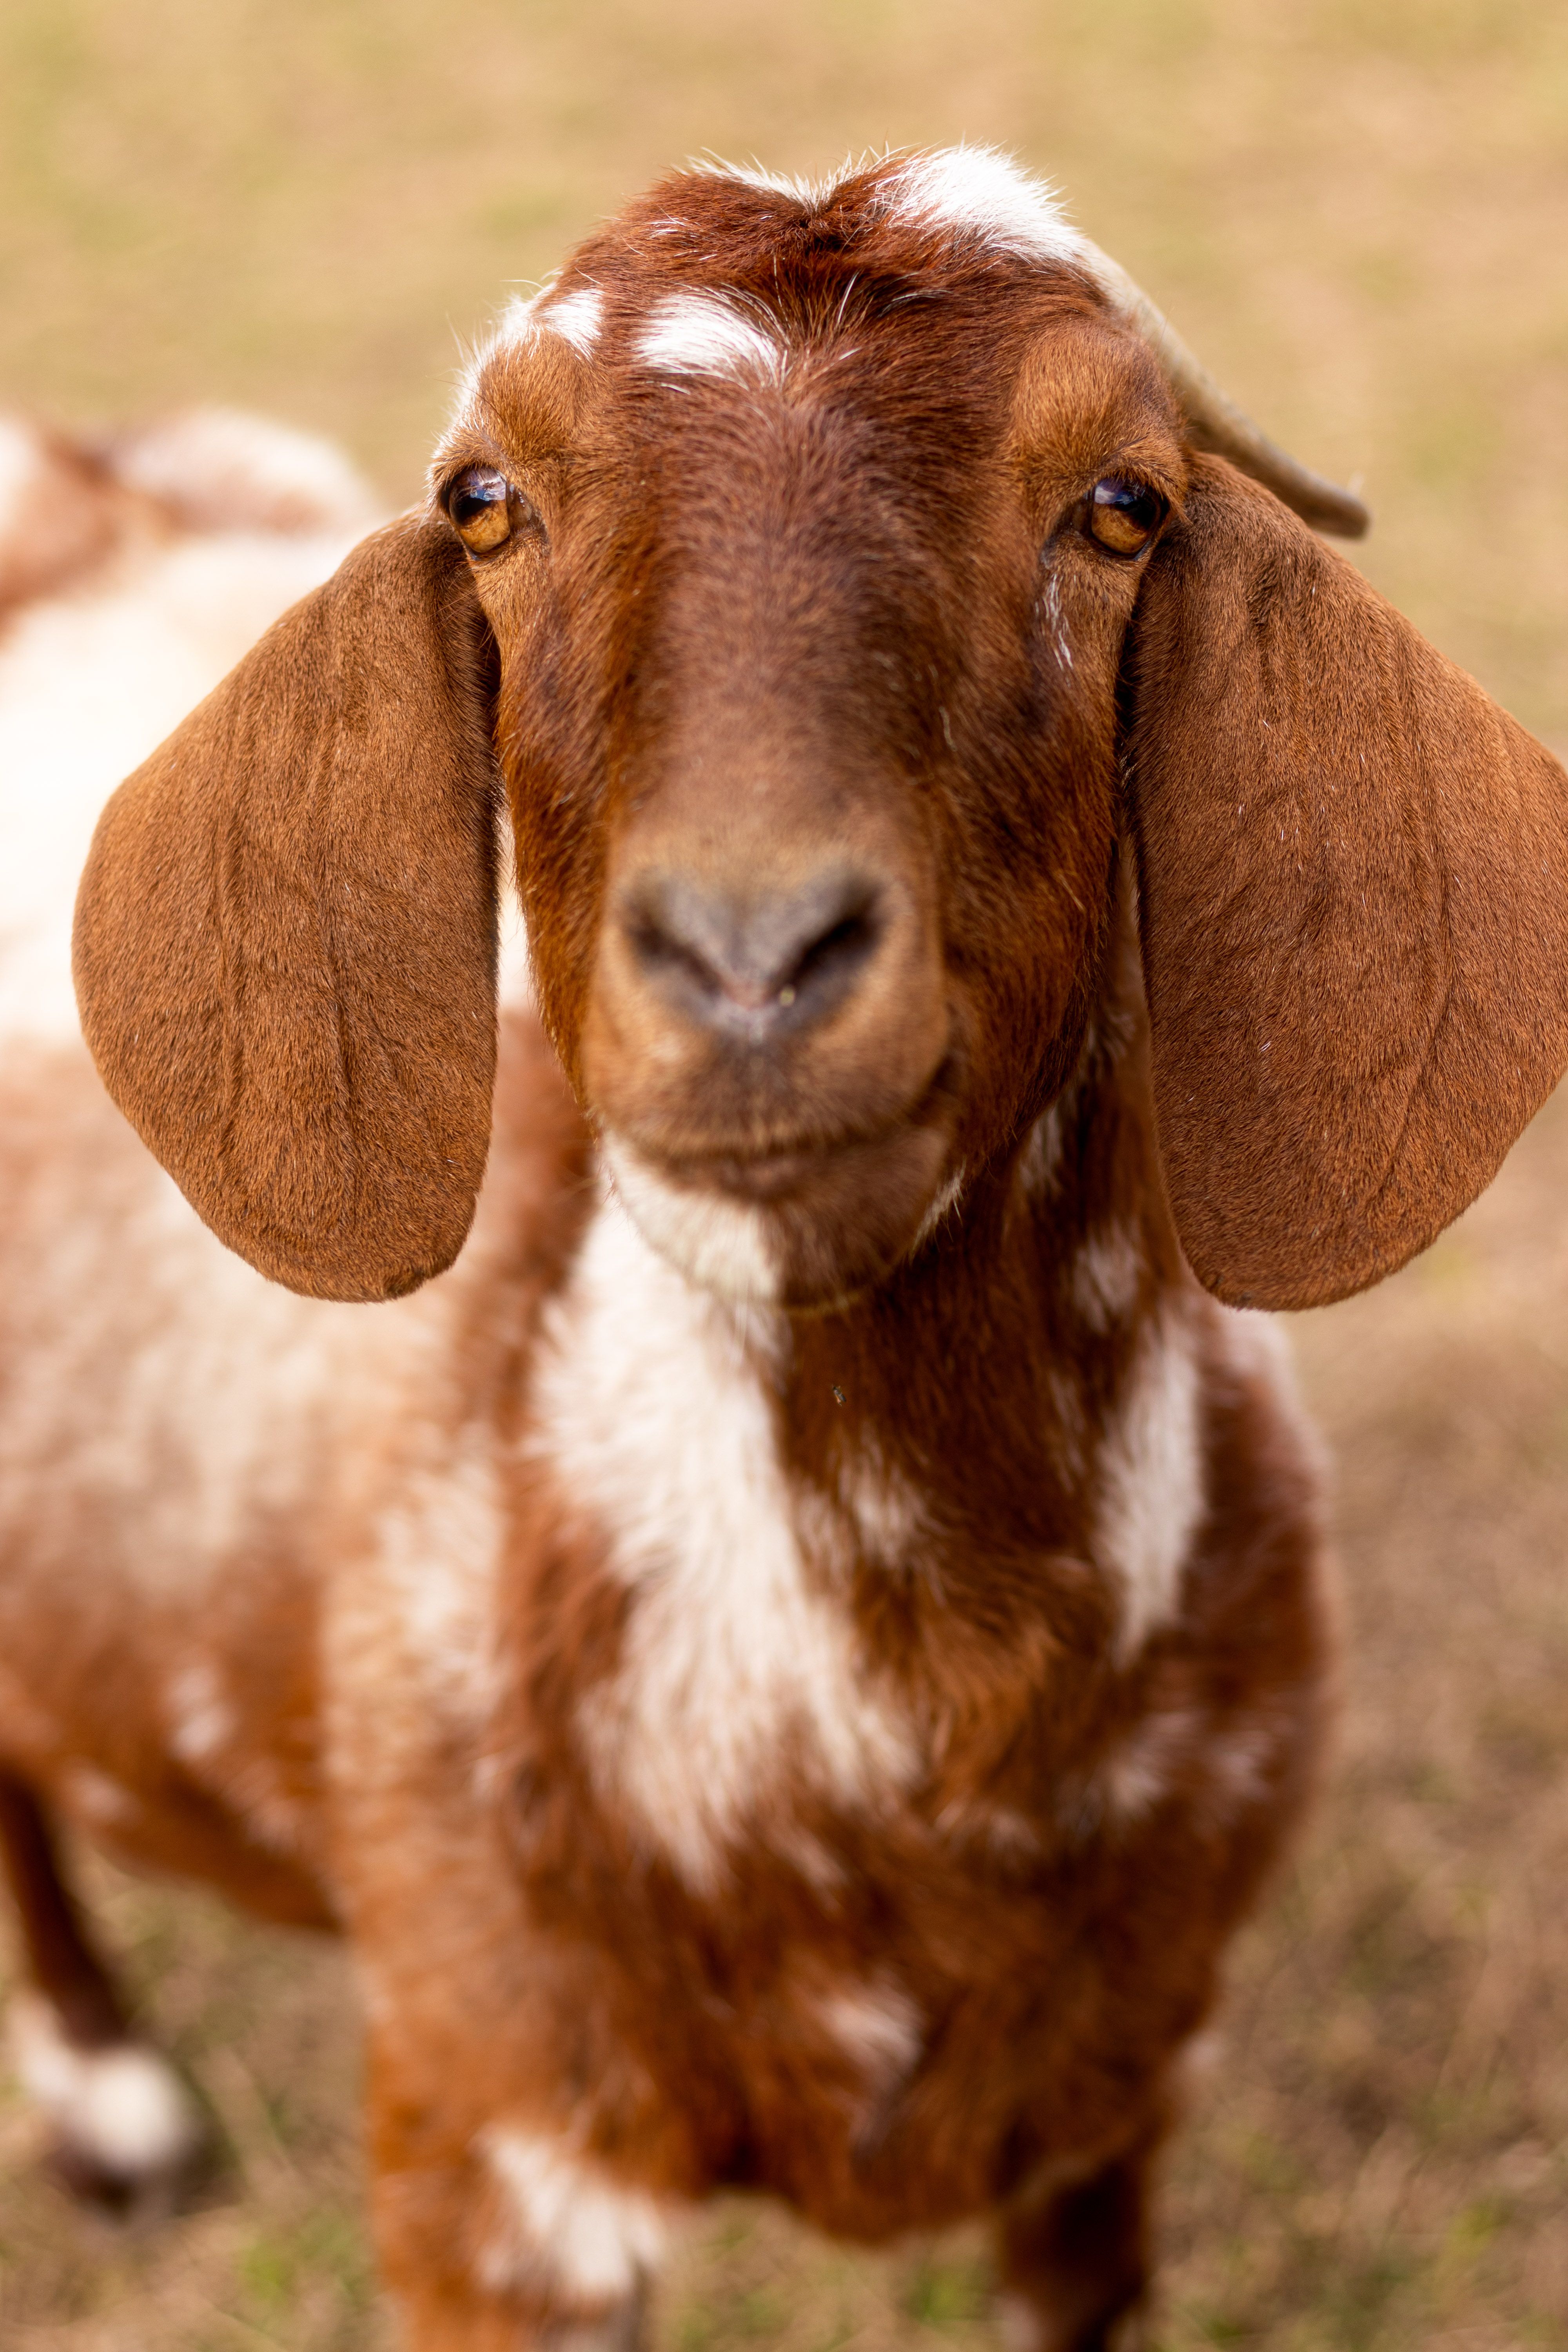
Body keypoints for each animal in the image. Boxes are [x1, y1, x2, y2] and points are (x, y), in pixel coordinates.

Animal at [6, 147, 1568, 2350]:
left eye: (1120, 503)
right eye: (486, 502)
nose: (752, 960)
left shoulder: (1107, 2109)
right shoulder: (485, 2143)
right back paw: (113, 2107)